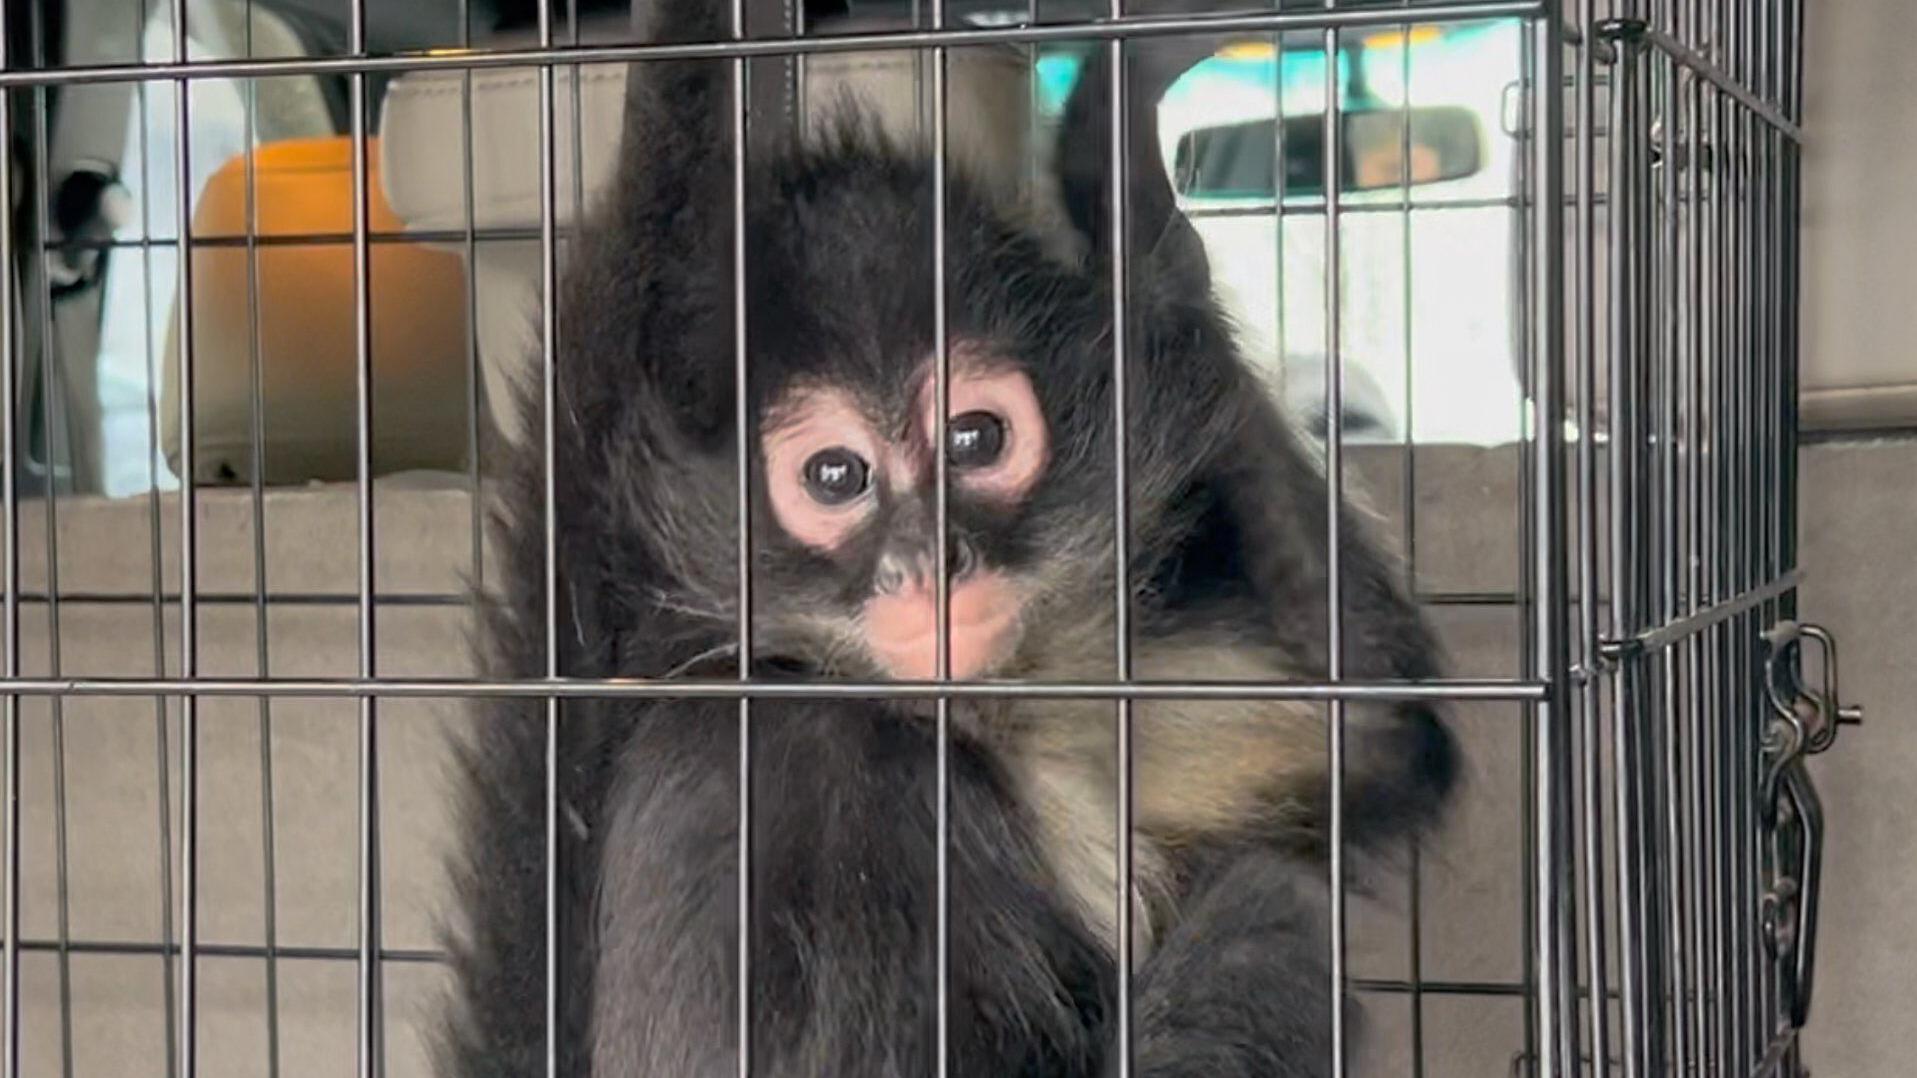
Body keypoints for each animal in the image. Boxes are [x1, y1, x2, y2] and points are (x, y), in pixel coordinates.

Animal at [435, 2, 1458, 1075]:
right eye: (835, 477)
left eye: (975, 440)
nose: (930, 564)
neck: (970, 719)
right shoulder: (778, 756)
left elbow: (1382, 735)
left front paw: (1120, 165)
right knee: (1277, 919)